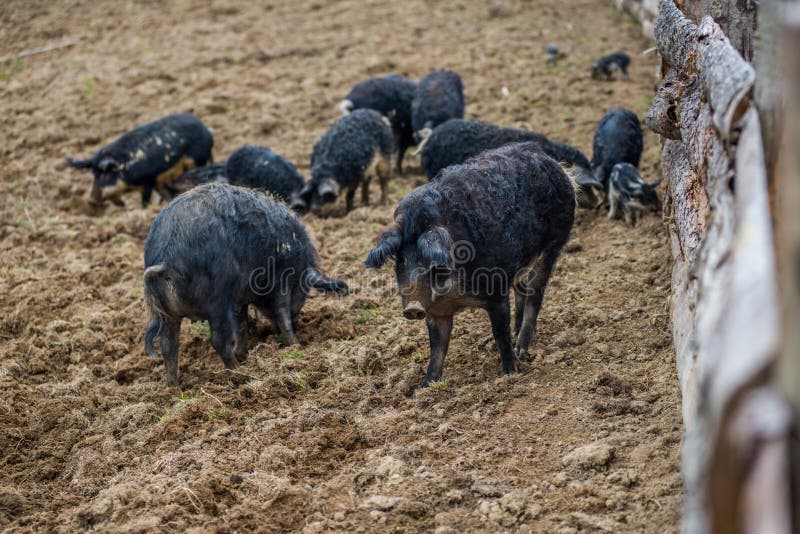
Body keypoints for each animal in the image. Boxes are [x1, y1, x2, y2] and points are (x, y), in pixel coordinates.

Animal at [66, 113, 213, 206]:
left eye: (105, 174)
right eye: (93, 174)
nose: (91, 201)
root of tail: (207, 130)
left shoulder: (147, 180)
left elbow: (145, 201)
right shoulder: (156, 180)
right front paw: (123, 205)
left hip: (197, 159)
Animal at [143, 183, 348, 385]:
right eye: (304, 292)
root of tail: (166, 259)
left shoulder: (239, 298)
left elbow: (242, 323)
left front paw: (244, 354)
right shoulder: (280, 281)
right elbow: (282, 314)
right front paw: (296, 345)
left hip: (168, 315)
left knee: (168, 345)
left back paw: (174, 386)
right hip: (216, 302)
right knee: (217, 341)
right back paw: (238, 372)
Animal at [365, 142, 575, 387]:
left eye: (430, 261)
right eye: (402, 259)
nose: (413, 308)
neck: (454, 295)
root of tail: (550, 160)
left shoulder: (497, 292)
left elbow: (500, 335)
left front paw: (510, 374)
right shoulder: (436, 311)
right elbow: (437, 349)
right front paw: (422, 388)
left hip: (555, 242)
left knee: (535, 291)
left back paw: (522, 349)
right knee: (522, 289)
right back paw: (517, 337)